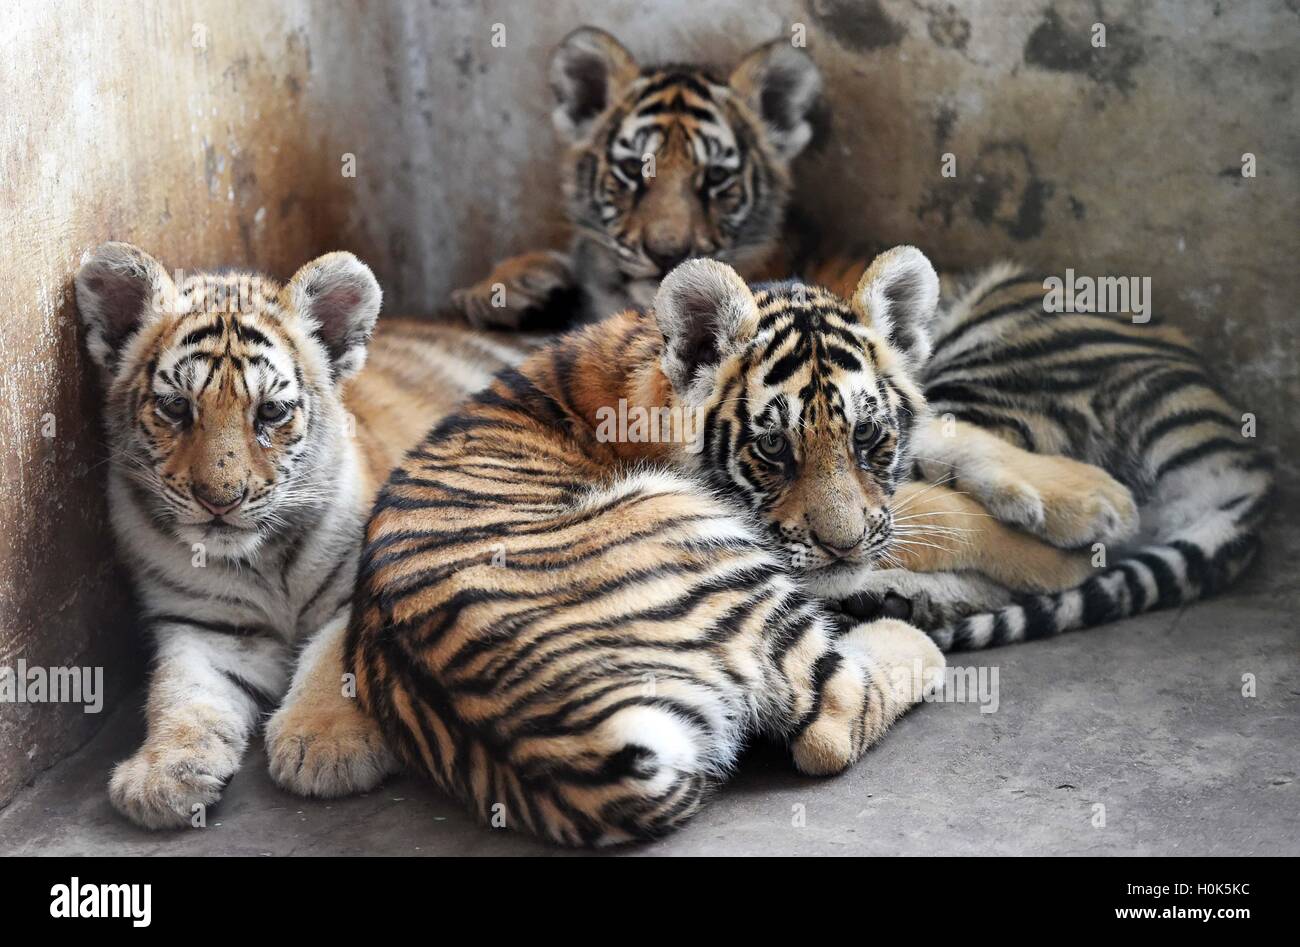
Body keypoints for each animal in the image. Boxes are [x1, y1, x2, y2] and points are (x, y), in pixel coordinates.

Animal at [74, 242, 539, 828]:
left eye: (270, 412)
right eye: (177, 407)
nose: (220, 501)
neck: (260, 560)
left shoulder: (364, 593)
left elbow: (331, 662)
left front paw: (325, 746)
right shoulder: (206, 627)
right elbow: (180, 694)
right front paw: (161, 774)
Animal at [346, 246, 1140, 845]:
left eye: (867, 434)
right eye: (772, 447)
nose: (844, 550)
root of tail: (571, 753)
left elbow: (946, 435)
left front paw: (1091, 497)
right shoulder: (782, 538)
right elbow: (930, 510)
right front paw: (1066, 557)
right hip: (699, 539)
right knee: (832, 717)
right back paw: (904, 633)